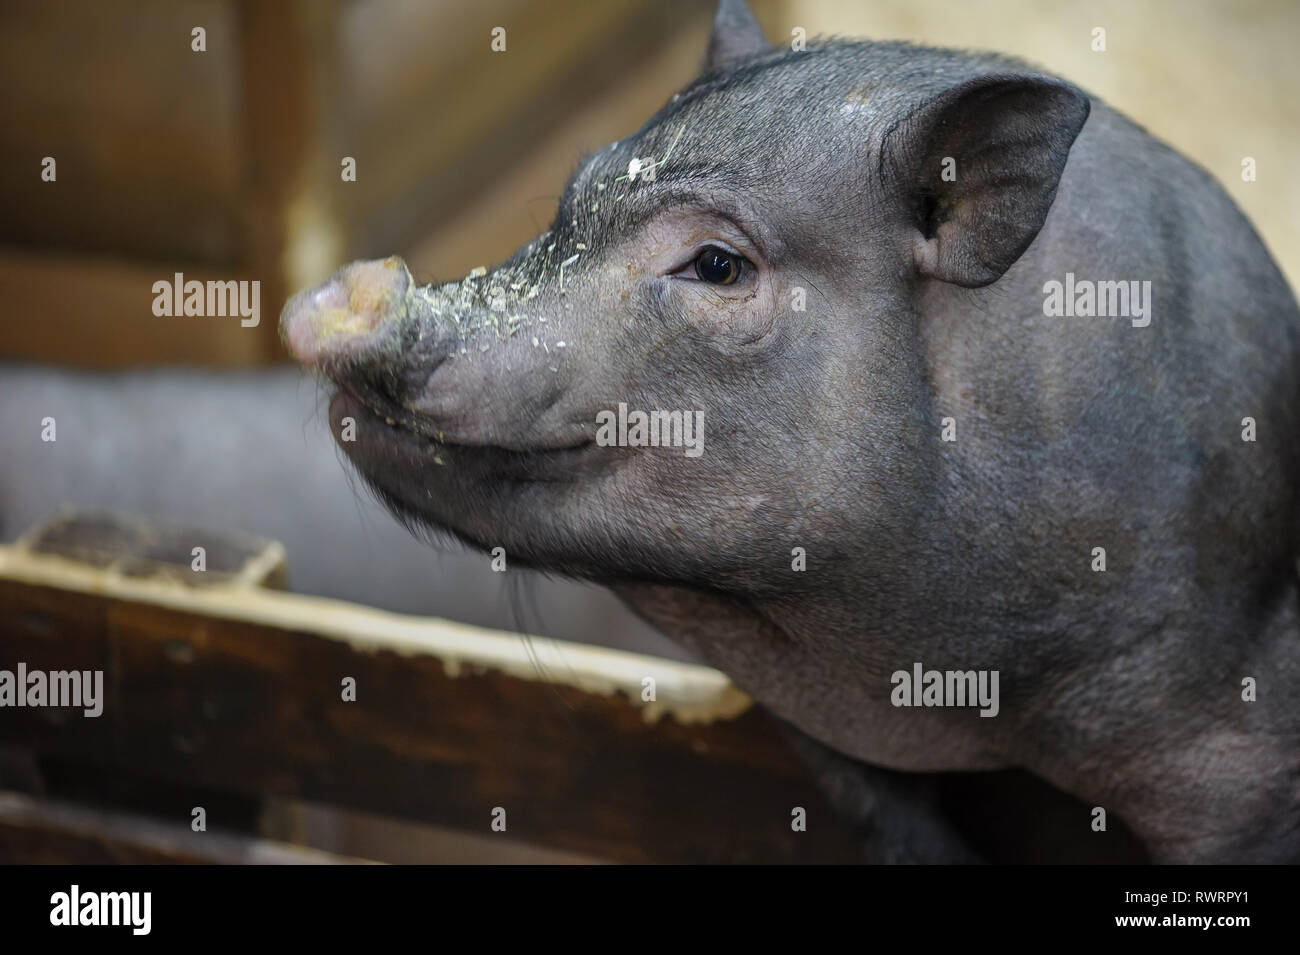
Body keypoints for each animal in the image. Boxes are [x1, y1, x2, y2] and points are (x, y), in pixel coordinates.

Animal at [281, 0, 1300, 862]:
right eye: (573, 196)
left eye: (718, 264)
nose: (353, 288)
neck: (975, 704)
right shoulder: (845, 755)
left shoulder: (1236, 769)